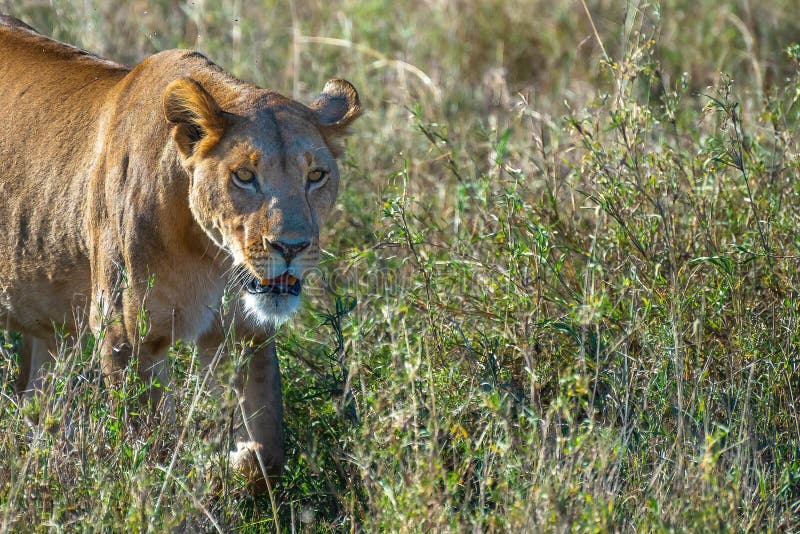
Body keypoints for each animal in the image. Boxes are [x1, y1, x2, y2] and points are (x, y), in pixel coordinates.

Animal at [0, 14, 360, 490]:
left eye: (316, 175)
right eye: (244, 176)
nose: (291, 247)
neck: (213, 256)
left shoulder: (246, 333)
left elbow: (267, 450)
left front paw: (231, 462)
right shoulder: (125, 332)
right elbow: (149, 447)